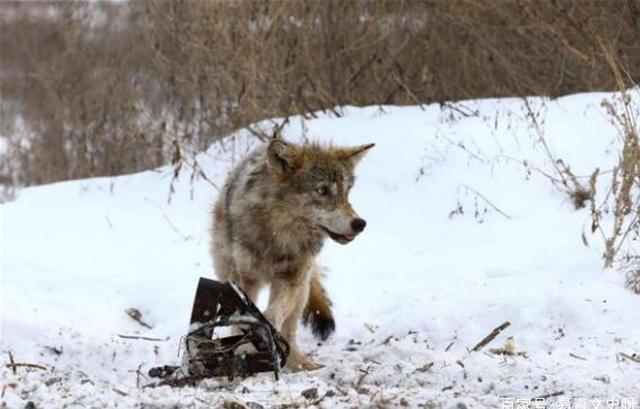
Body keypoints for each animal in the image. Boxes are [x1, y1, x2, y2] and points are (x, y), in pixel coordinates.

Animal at [210, 138, 374, 370]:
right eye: (322, 190)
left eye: (346, 192)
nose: (359, 224)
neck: (280, 237)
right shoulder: (247, 278)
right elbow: (245, 317)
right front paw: (244, 346)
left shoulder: (291, 279)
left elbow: (273, 314)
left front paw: (257, 340)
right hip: (228, 272)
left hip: (302, 290)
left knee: (289, 329)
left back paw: (300, 364)